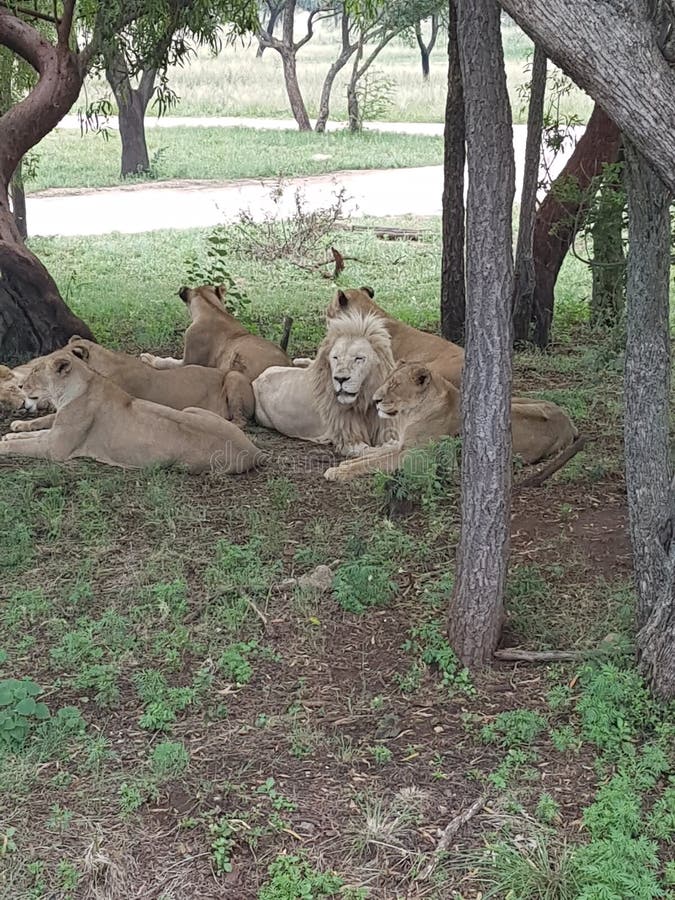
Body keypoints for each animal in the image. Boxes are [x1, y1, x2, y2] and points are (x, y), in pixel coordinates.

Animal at [1, 351, 263, 474]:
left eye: (36, 371)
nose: (21, 386)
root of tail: (254, 452)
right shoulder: (54, 434)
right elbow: (30, 434)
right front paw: (13, 432)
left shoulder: (56, 449)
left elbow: (24, 444)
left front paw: (5, 442)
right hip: (190, 409)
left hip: (182, 464)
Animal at [253, 310, 397, 456]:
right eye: (335, 357)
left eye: (359, 358)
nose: (340, 379)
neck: (363, 401)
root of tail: (258, 377)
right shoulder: (346, 440)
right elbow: (377, 450)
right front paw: (389, 446)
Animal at [324, 361, 578, 481]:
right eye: (387, 381)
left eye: (395, 386)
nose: (375, 400)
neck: (409, 415)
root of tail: (568, 421)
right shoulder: (403, 445)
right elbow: (375, 455)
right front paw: (345, 464)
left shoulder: (416, 456)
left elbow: (374, 463)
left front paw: (338, 472)